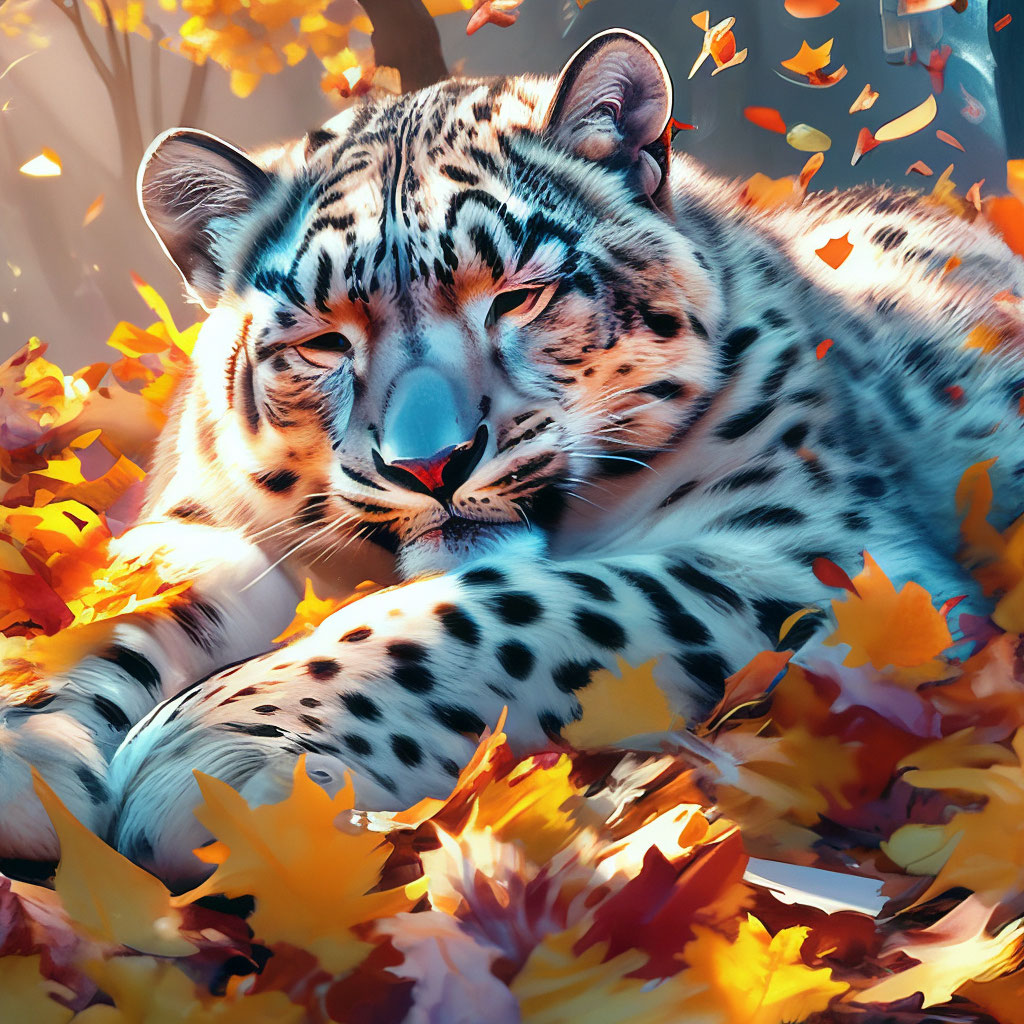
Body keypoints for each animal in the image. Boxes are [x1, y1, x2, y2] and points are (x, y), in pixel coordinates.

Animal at [2, 29, 1023, 886]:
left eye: (519, 295)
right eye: (324, 341)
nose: (432, 464)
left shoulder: (827, 546)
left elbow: (507, 603)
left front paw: (212, 754)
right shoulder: (210, 524)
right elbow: (113, 612)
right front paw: (28, 754)